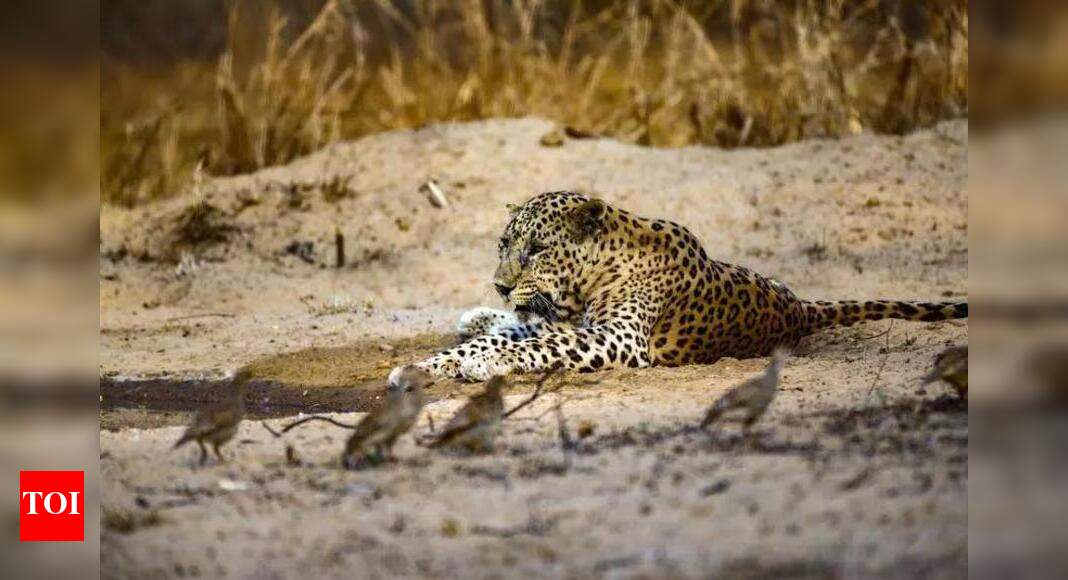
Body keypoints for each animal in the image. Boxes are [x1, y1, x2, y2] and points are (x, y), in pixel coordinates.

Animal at [397, 191, 967, 383]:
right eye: (503, 245)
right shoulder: (579, 322)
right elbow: (514, 335)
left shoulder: (619, 339)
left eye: (536, 249)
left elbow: (536, 344)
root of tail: (803, 308)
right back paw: (478, 316)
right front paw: (428, 365)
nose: (498, 285)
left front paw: (484, 363)